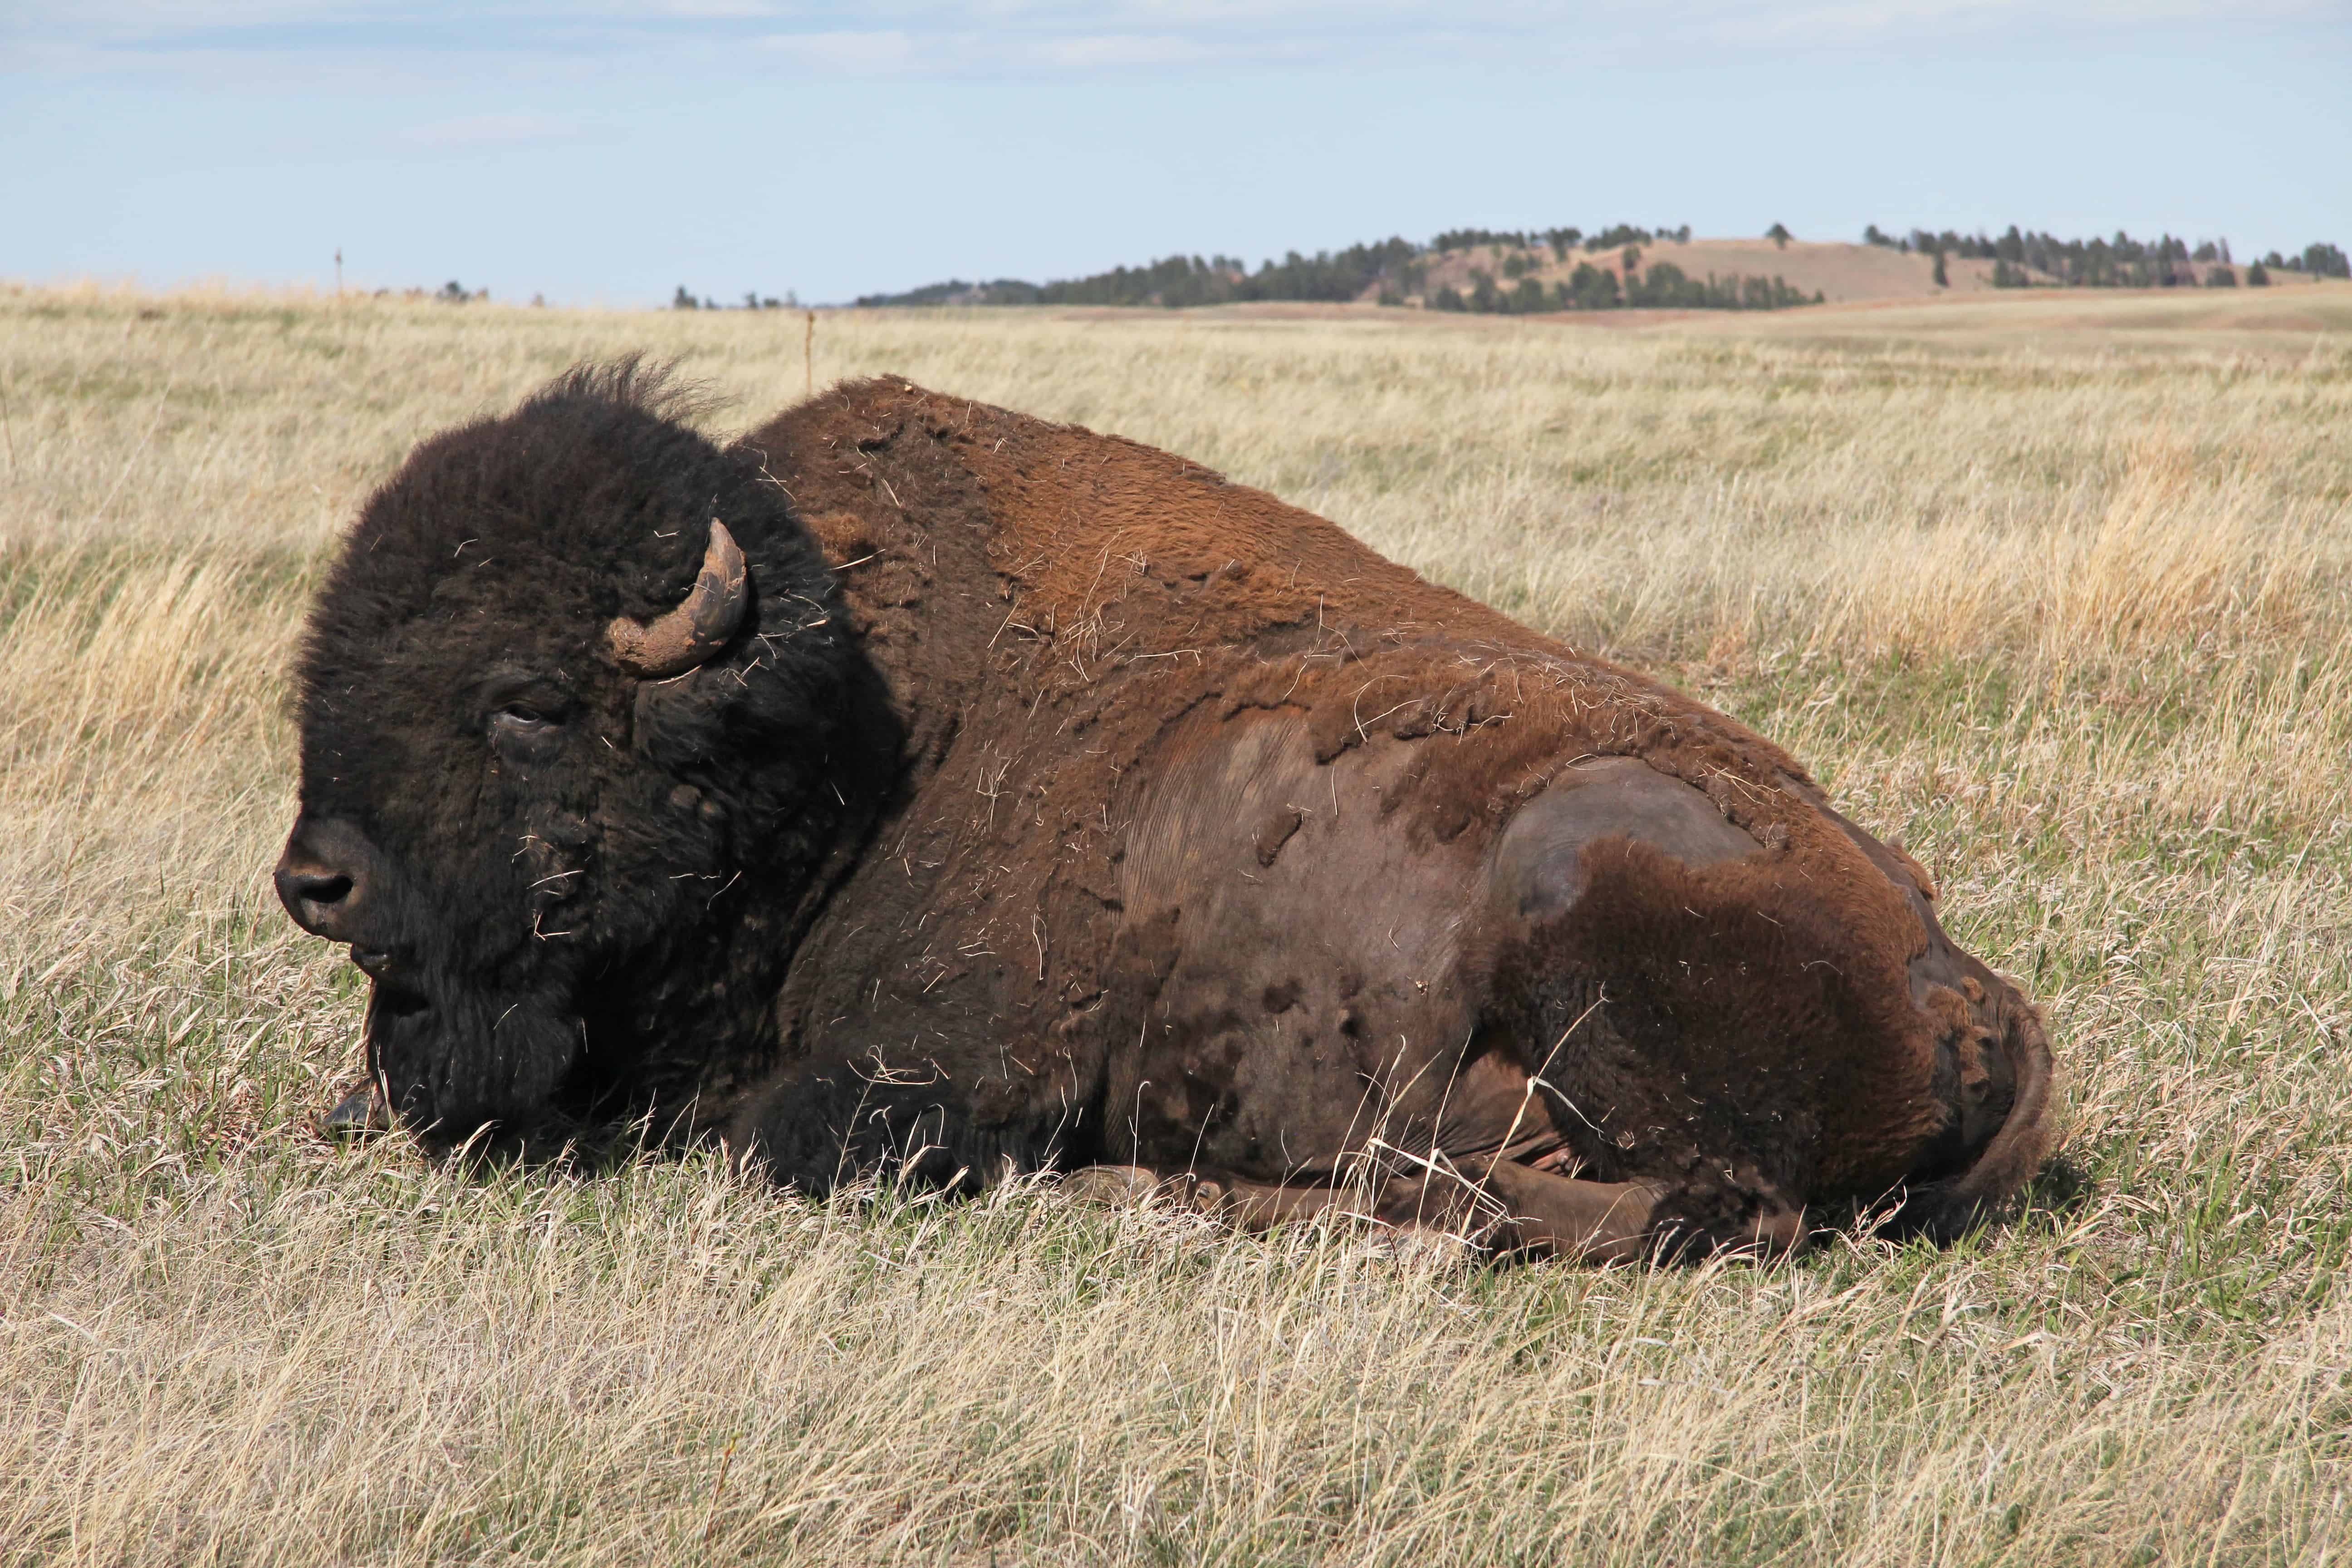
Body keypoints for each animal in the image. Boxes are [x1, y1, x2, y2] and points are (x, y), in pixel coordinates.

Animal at [276, 363, 2055, 1260]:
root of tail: (1967, 981)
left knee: (1684, 1210)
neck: (844, 736)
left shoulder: (934, 1081)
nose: (317, 881)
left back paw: (1276, 1208)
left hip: (1579, 892)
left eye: (525, 697)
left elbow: (758, 1139)